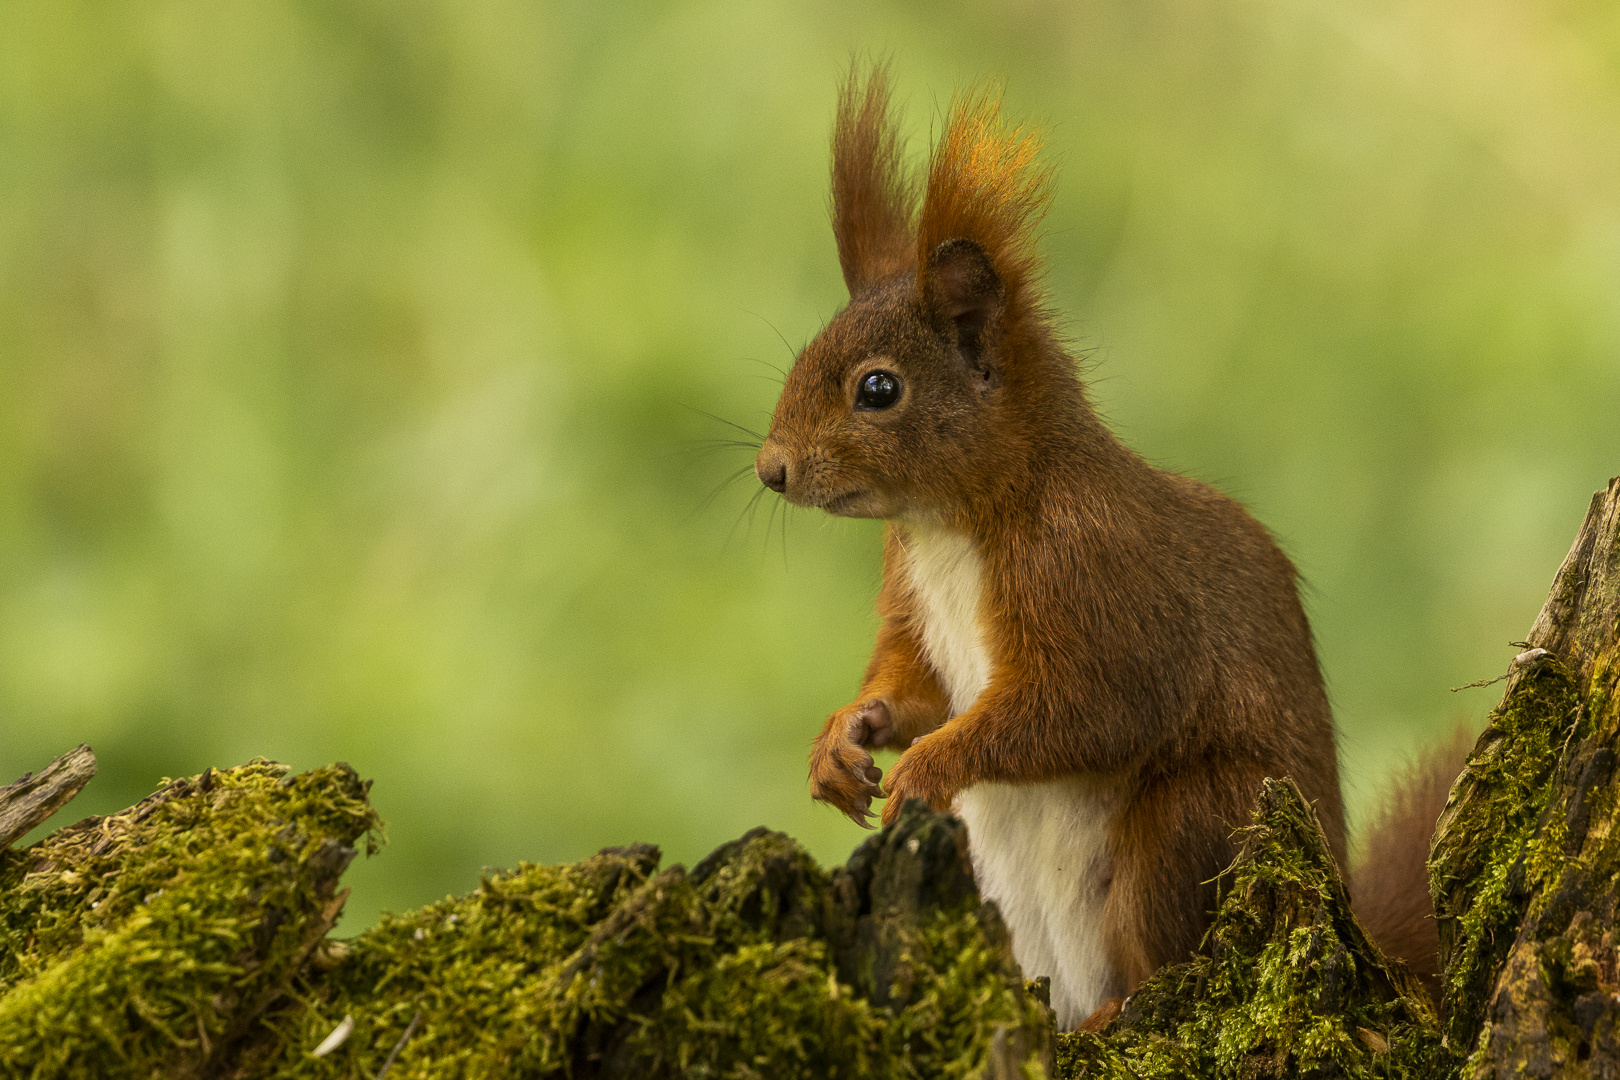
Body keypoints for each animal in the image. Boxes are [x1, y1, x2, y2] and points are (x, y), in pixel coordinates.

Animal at [752, 67, 1461, 1029]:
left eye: (878, 389)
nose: (771, 469)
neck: (953, 526)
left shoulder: (1095, 577)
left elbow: (1087, 706)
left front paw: (931, 765)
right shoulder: (915, 598)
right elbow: (916, 689)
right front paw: (844, 738)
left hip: (1195, 826)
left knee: (1163, 943)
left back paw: (1115, 1010)